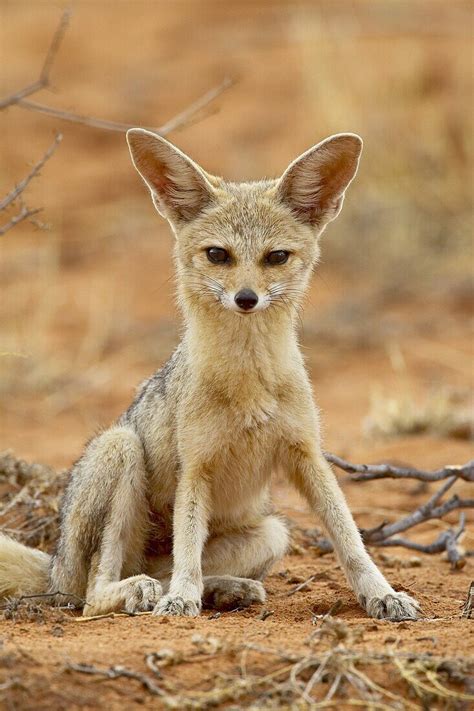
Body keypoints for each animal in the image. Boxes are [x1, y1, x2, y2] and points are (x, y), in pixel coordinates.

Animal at [0, 130, 420, 621]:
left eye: (276, 257)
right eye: (218, 255)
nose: (246, 298)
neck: (250, 382)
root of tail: (52, 568)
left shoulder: (307, 455)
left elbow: (350, 538)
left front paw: (382, 593)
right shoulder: (196, 466)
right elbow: (187, 548)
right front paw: (181, 600)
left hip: (272, 533)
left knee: (169, 572)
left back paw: (226, 590)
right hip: (121, 450)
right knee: (92, 596)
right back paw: (145, 592)